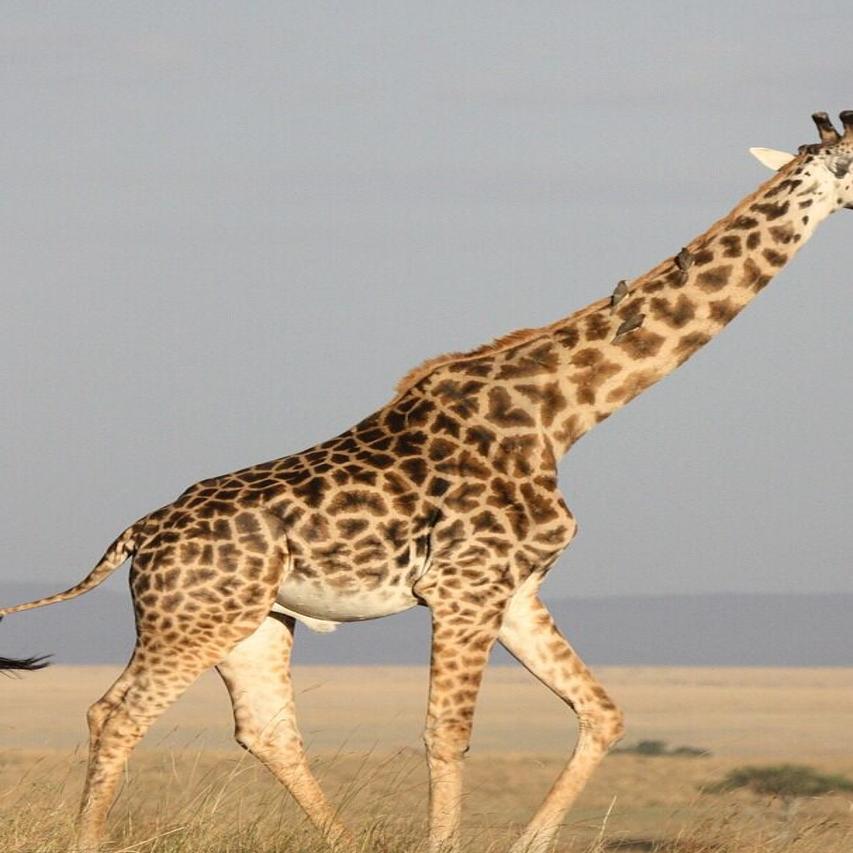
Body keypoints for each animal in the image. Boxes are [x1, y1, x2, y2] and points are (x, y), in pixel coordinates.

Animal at [2, 112, 851, 853]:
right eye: (851, 160)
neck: (563, 414)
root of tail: (137, 535)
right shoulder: (463, 586)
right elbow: (448, 732)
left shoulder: (515, 590)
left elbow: (603, 713)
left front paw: (527, 844)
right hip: (189, 618)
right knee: (115, 712)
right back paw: (86, 840)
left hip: (253, 621)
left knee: (265, 728)